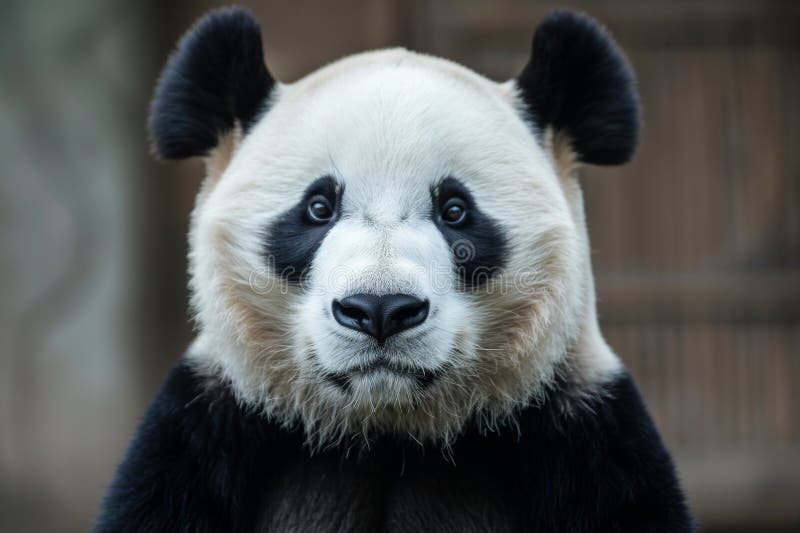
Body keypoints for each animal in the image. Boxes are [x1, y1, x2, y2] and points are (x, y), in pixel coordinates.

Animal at [94, 6, 695, 532]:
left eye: (455, 211)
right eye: (318, 207)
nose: (380, 310)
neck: (385, 431)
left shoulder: (585, 434)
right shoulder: (204, 431)